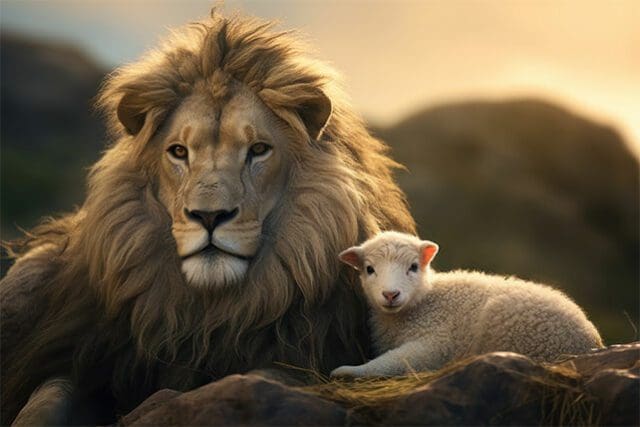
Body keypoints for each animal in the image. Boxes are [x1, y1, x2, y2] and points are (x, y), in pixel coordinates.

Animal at [0, 10, 415, 424]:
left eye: (259, 149)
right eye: (179, 151)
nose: (209, 215)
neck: (206, 314)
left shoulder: (308, 354)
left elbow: (264, 377)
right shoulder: (79, 360)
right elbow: (48, 398)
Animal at [331, 231, 603, 378]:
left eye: (413, 267)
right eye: (369, 269)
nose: (390, 294)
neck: (424, 301)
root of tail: (591, 339)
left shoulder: (436, 342)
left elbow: (396, 361)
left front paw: (348, 371)